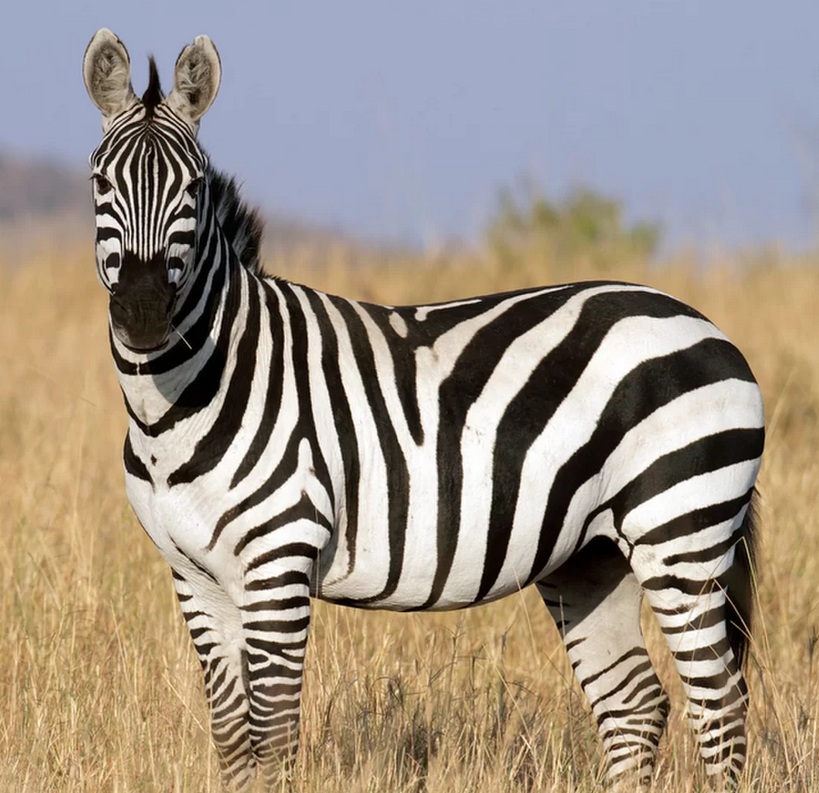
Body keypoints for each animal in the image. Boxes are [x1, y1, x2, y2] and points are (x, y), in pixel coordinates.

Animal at [83, 29, 764, 791]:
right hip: (591, 553)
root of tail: (701, 321)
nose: (144, 316)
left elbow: (273, 737)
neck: (182, 406)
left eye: (193, 189)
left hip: (681, 529)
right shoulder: (195, 577)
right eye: (100, 182)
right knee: (635, 703)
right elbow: (234, 742)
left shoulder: (278, 562)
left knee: (718, 707)